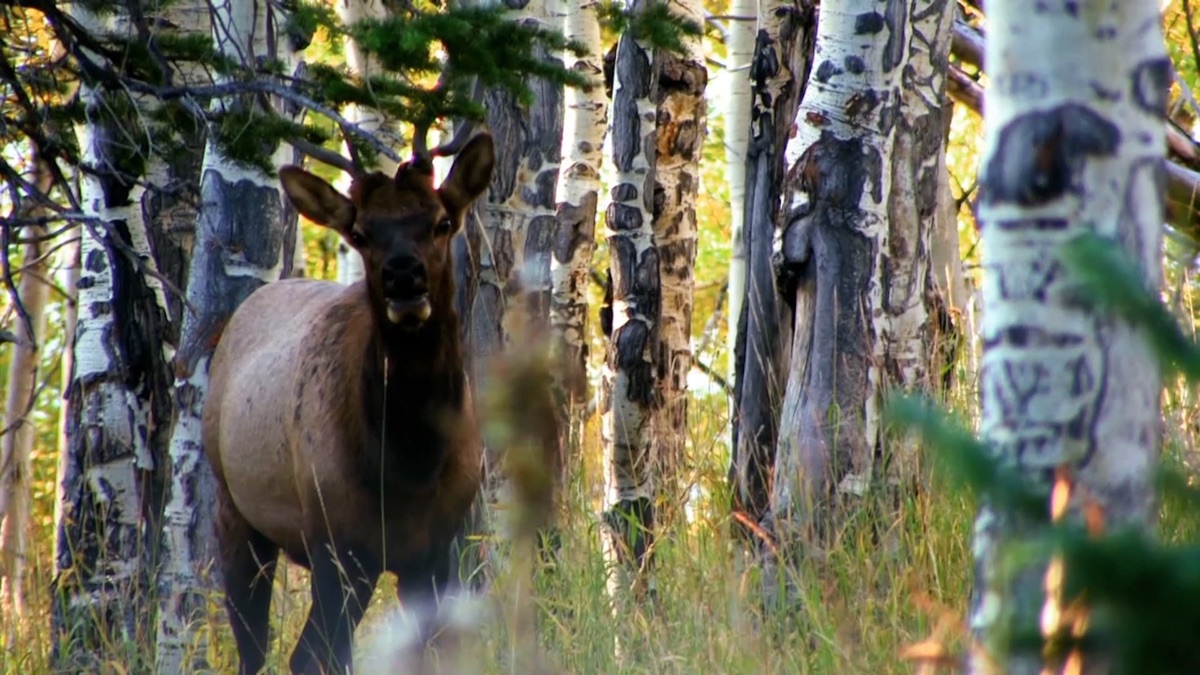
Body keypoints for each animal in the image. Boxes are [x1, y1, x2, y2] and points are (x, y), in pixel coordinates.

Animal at [201, 128, 494, 675]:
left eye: (442, 221)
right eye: (361, 233)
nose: (404, 276)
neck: (409, 466)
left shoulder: (435, 549)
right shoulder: (338, 543)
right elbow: (322, 656)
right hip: (236, 512)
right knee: (259, 646)